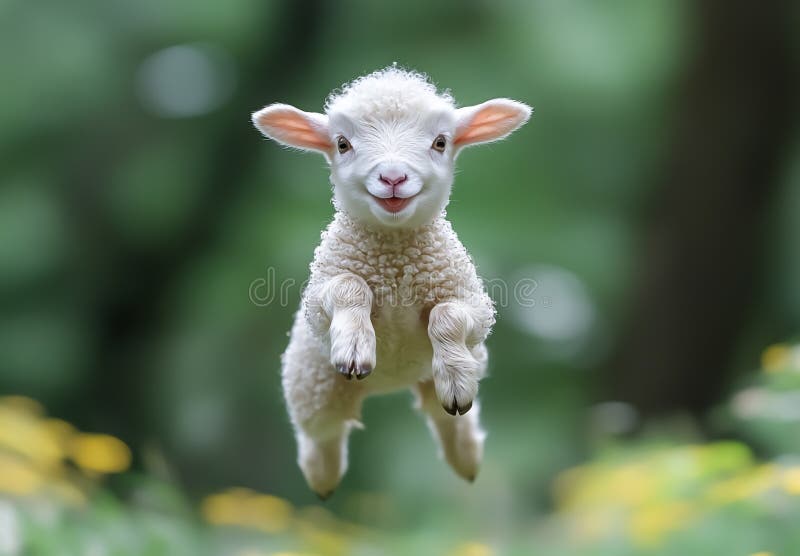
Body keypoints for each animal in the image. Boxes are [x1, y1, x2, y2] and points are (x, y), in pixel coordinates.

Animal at [252, 67, 531, 498]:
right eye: (342, 143)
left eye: (440, 142)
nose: (393, 177)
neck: (395, 255)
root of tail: (392, 384)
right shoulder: (320, 298)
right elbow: (349, 287)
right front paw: (354, 347)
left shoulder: (471, 302)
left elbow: (448, 317)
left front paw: (453, 371)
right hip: (313, 383)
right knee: (322, 433)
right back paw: (322, 478)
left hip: (441, 373)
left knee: (447, 416)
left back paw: (465, 451)